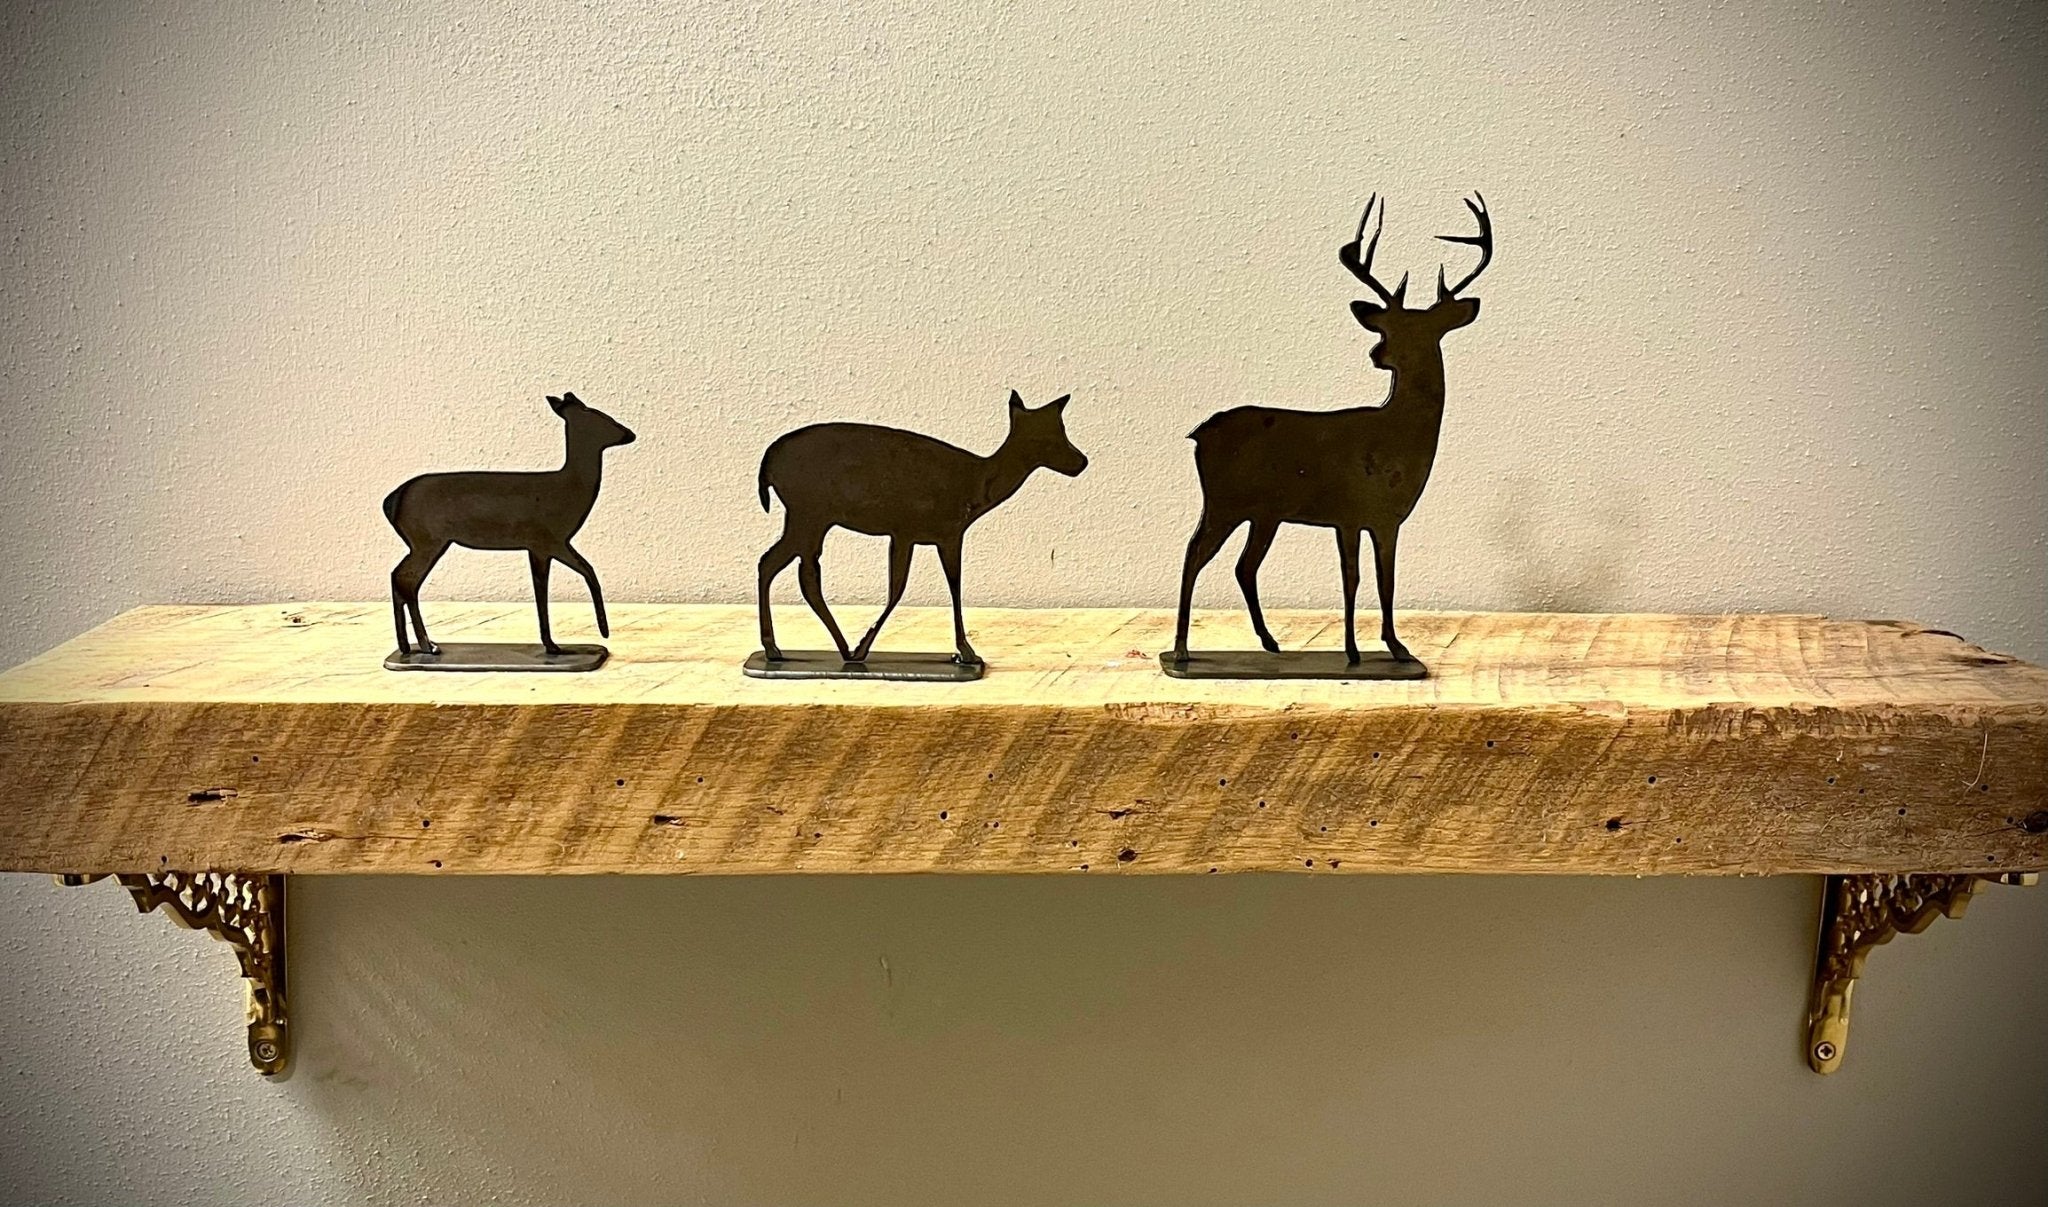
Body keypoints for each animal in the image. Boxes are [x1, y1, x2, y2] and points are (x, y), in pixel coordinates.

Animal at [383, 391, 637, 657]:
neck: (569, 490)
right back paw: (426, 645)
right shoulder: (548, 540)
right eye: (594, 413)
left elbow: (550, 584)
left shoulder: (540, 547)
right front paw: (594, 633)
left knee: (400, 577)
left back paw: (409, 646)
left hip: (423, 542)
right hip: (427, 539)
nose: (629, 433)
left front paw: (554, 643)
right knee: (405, 580)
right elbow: (584, 573)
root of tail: (391, 501)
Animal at [757, 391, 1088, 666]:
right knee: (784, 567)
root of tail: (767, 463)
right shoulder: (930, 531)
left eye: (1061, 428)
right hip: (808, 513)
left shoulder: (920, 535)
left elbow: (915, 585)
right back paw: (817, 650)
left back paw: (804, 649)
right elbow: (917, 587)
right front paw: (966, 652)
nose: (1082, 461)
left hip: (809, 517)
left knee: (787, 568)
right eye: (1052, 435)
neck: (977, 485)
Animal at [1170, 192, 1492, 666]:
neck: (1398, 439)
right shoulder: (1357, 511)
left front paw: (1384, 649)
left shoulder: (1375, 518)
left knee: (1243, 566)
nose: (1377, 354)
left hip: (1264, 512)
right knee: (1193, 553)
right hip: (1225, 502)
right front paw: (1365, 651)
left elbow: (1376, 578)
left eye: (1423, 332)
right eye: (1386, 327)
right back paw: (1180, 651)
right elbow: (1359, 578)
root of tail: (1197, 435)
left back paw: (1270, 642)